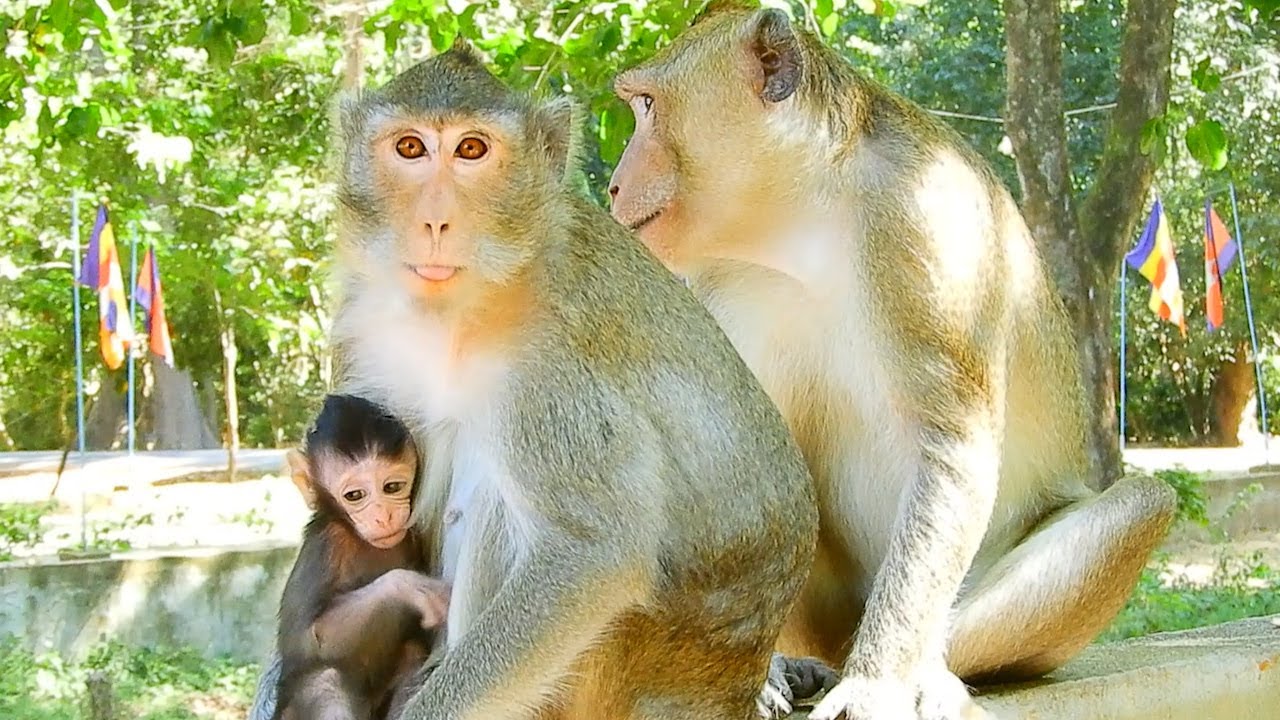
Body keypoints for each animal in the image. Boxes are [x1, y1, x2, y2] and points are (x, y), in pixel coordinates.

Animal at [272, 393, 450, 720]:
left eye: (392, 487)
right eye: (354, 495)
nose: (383, 516)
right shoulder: (327, 545)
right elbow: (310, 639)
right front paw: (406, 587)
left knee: (412, 653)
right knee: (324, 681)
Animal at [606, 3, 1178, 719]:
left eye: (647, 105)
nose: (613, 183)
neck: (806, 221)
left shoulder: (923, 224)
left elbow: (950, 447)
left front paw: (876, 681)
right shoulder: (712, 281)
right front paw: (757, 675)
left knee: (1141, 503)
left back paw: (921, 670)